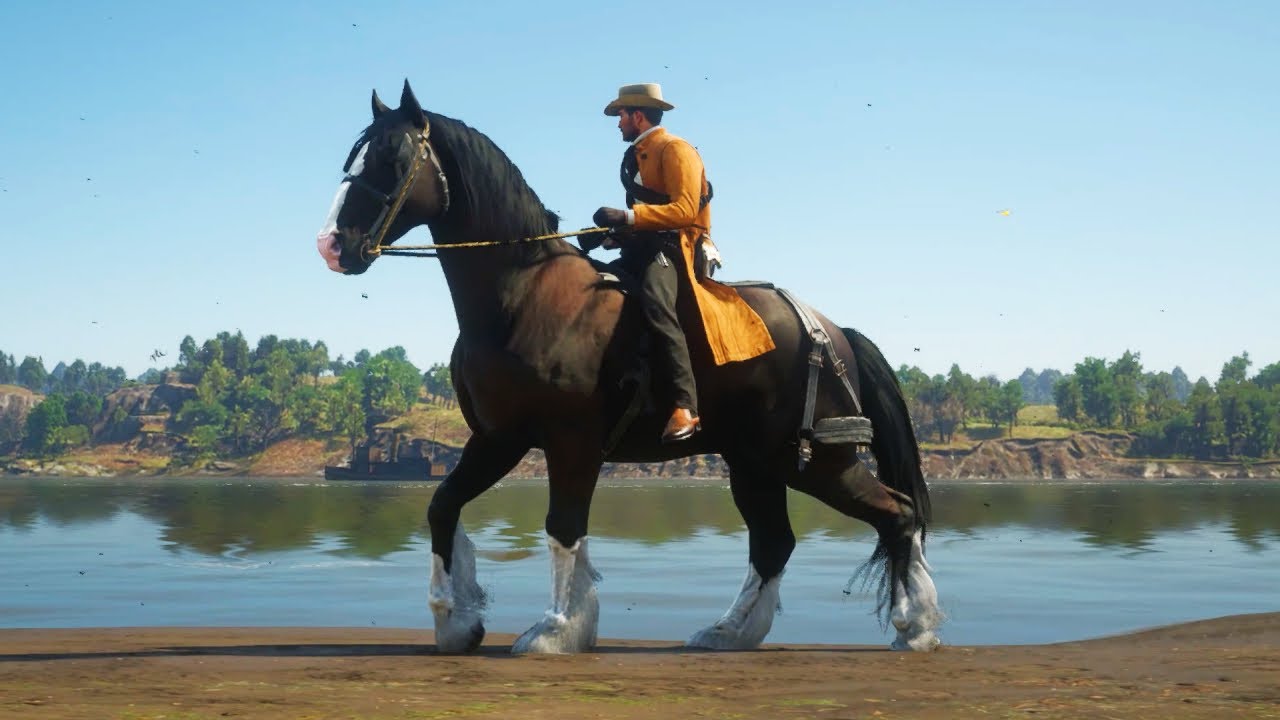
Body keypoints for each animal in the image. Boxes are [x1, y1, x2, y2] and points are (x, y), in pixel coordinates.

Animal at [315, 80, 942, 653]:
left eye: (393, 158)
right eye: (353, 157)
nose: (331, 244)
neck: (521, 294)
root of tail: (830, 330)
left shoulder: (570, 441)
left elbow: (563, 528)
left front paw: (556, 628)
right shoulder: (497, 438)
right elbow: (443, 507)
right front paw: (457, 620)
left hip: (812, 461)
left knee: (898, 514)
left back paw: (915, 626)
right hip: (755, 462)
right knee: (774, 544)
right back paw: (731, 631)